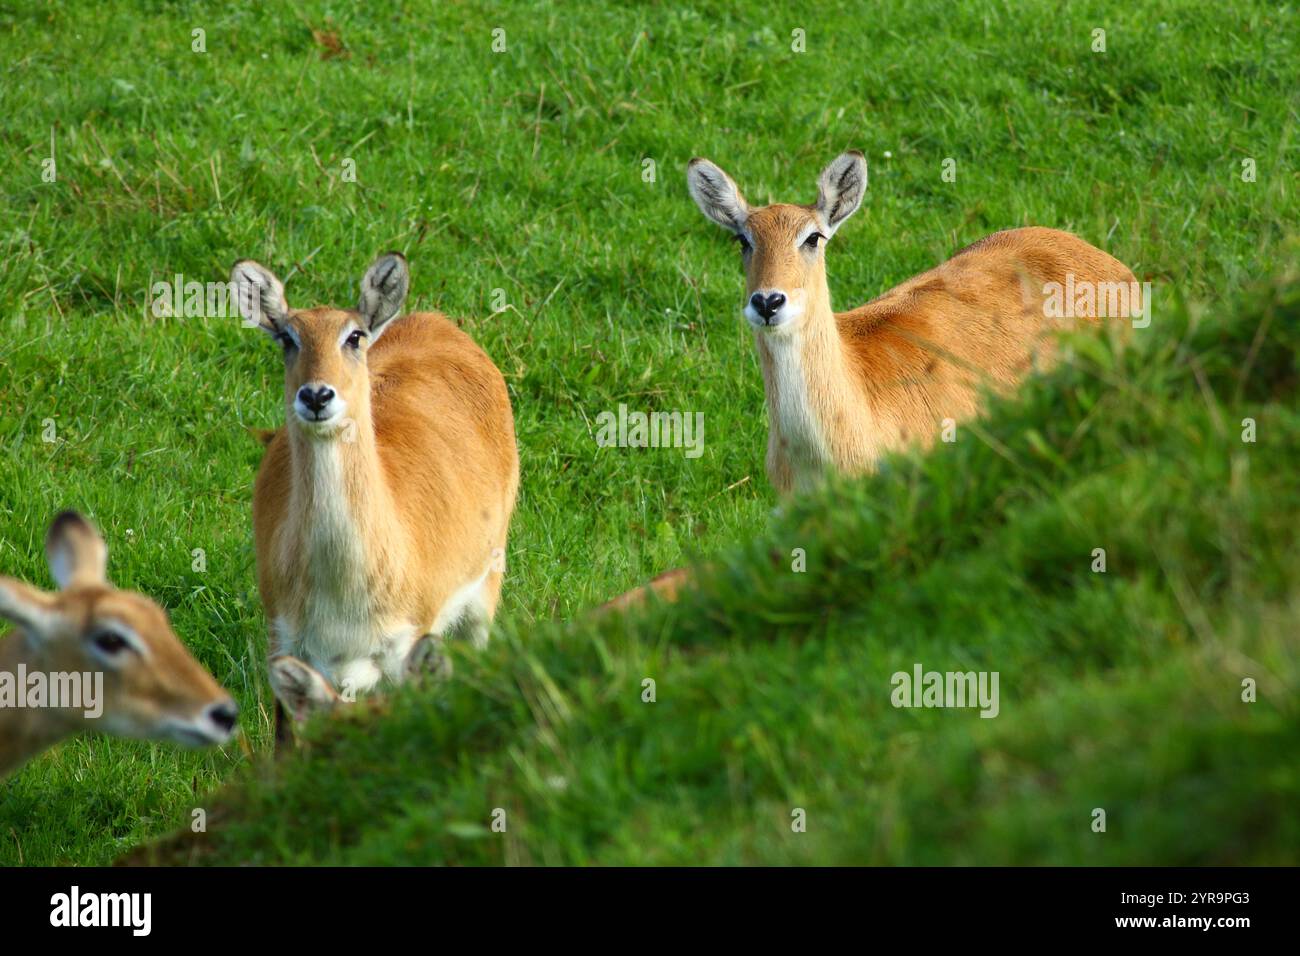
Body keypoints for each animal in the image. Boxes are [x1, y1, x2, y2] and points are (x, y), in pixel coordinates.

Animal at [232, 253, 519, 742]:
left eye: (354, 335)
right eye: (287, 337)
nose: (317, 395)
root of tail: (437, 321)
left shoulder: (406, 648)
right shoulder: (287, 643)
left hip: (486, 584)